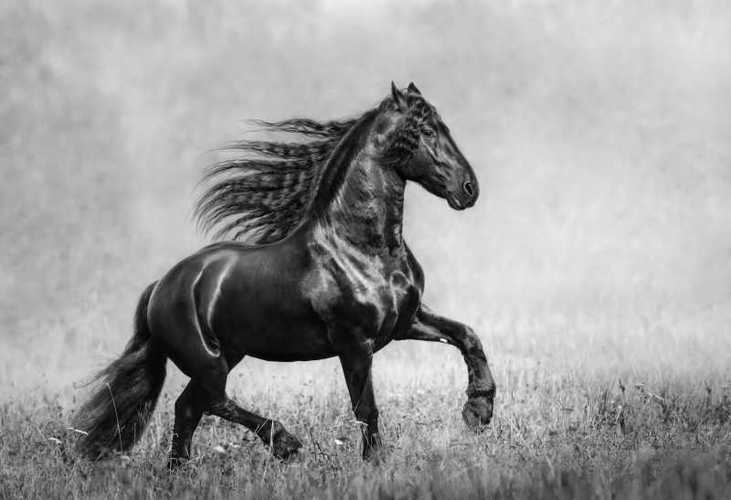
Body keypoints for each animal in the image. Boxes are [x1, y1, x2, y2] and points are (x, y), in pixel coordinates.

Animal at [74, 82, 496, 465]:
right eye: (426, 131)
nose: (469, 188)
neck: (362, 248)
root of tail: (161, 286)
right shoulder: (354, 343)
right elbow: (365, 408)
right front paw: (374, 463)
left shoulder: (406, 321)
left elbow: (467, 336)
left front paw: (479, 410)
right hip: (209, 359)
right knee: (211, 400)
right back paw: (284, 444)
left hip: (229, 352)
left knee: (189, 407)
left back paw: (179, 472)